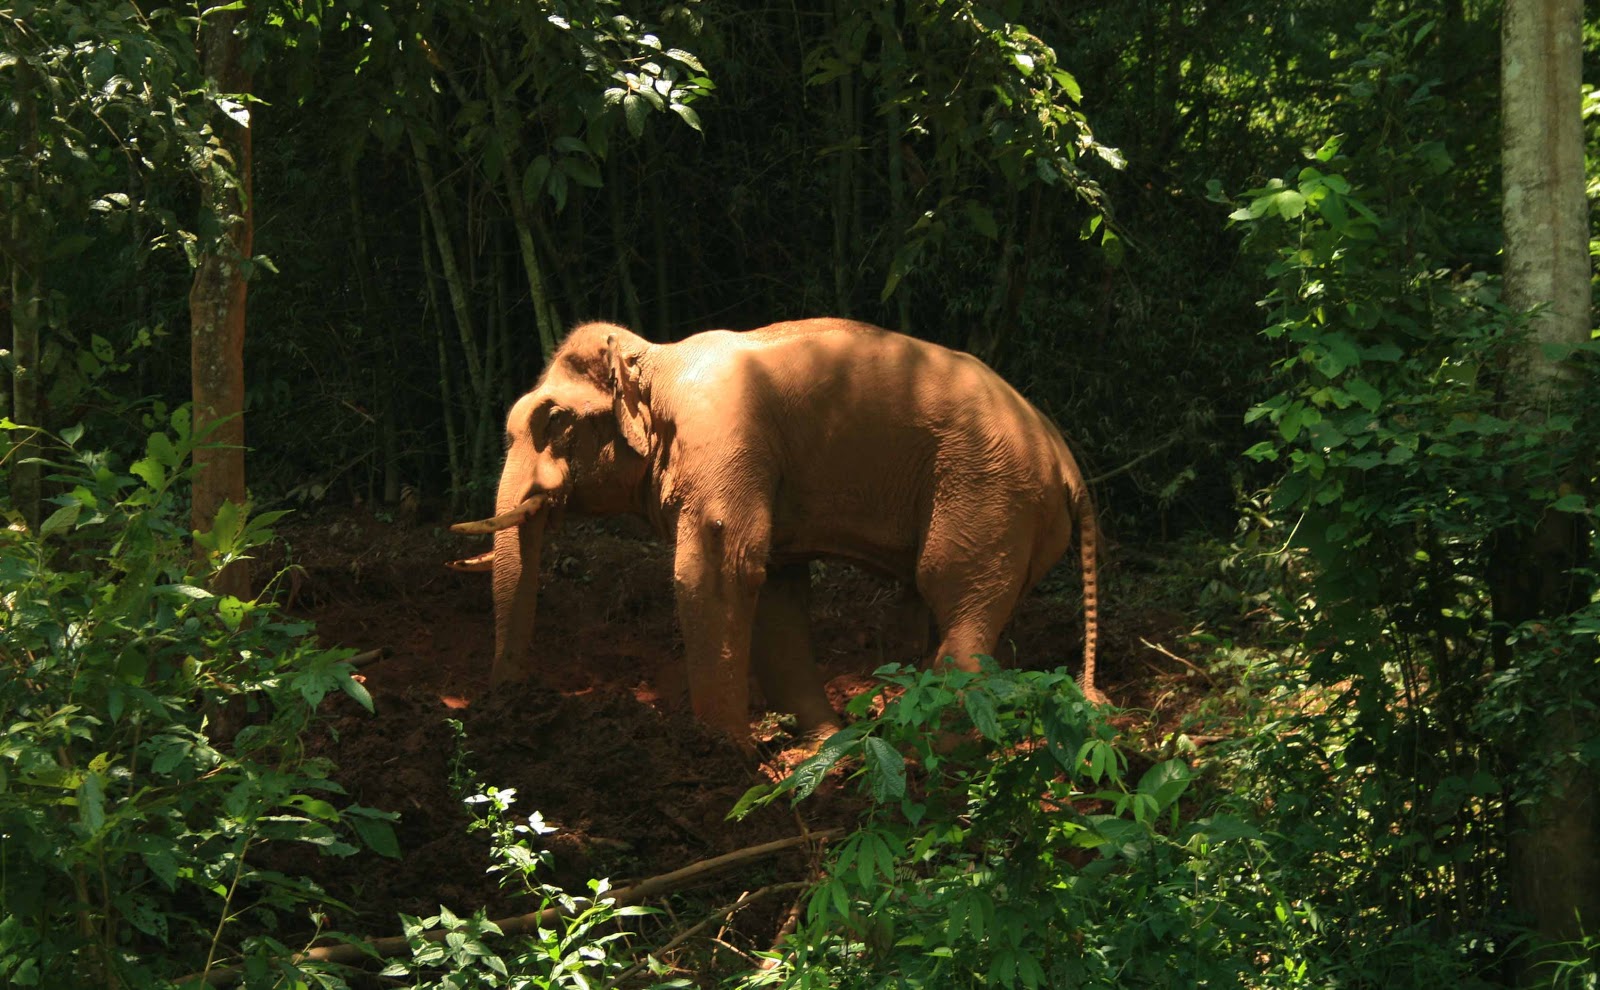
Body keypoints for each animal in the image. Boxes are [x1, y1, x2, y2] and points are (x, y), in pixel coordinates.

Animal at [451, 317, 1103, 744]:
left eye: (557, 423)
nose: (503, 704)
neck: (658, 358)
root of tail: (1069, 462)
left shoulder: (724, 445)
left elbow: (717, 571)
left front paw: (724, 755)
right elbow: (774, 586)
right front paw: (821, 747)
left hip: (990, 495)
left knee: (954, 594)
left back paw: (934, 748)